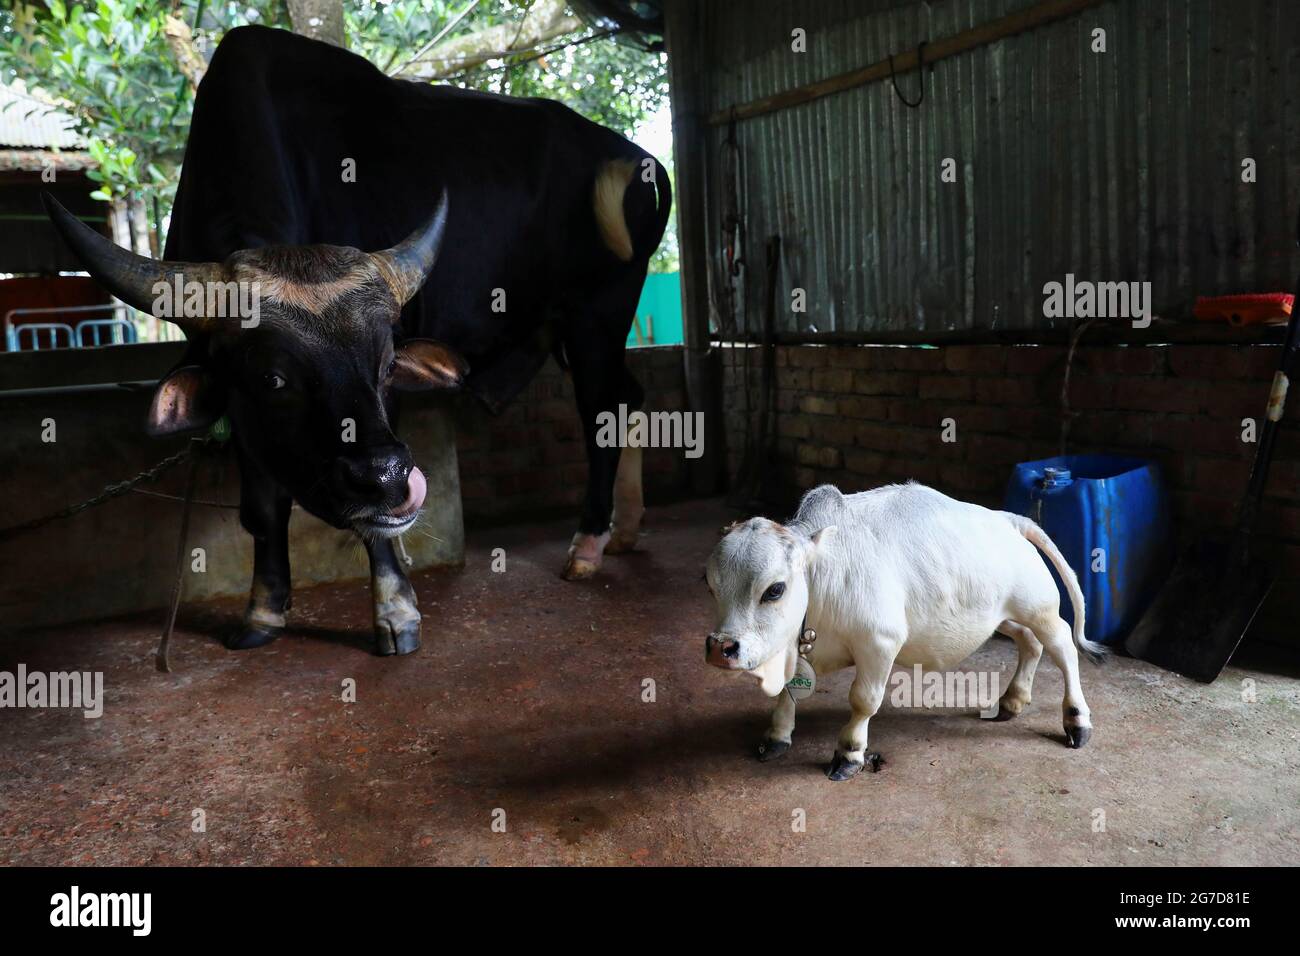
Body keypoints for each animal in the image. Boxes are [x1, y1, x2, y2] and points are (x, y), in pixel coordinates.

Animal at [45, 25, 671, 656]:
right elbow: (262, 508)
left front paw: (397, 612)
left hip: (599, 312)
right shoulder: (242, 412)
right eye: (271, 377)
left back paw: (587, 546)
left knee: (601, 413)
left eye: (388, 364)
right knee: (630, 398)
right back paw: (625, 530)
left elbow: (375, 528)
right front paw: (263, 612)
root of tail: (641, 160)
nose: (385, 477)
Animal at [703, 483, 1105, 780]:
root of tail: (1007, 519)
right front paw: (777, 735)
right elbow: (787, 691)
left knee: (1063, 647)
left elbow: (863, 700)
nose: (721, 647)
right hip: (1000, 614)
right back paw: (1012, 700)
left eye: (774, 589)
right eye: (710, 585)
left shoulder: (879, 642)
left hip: (1040, 607)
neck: (821, 580)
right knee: (1029, 642)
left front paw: (849, 753)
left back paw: (1076, 719)